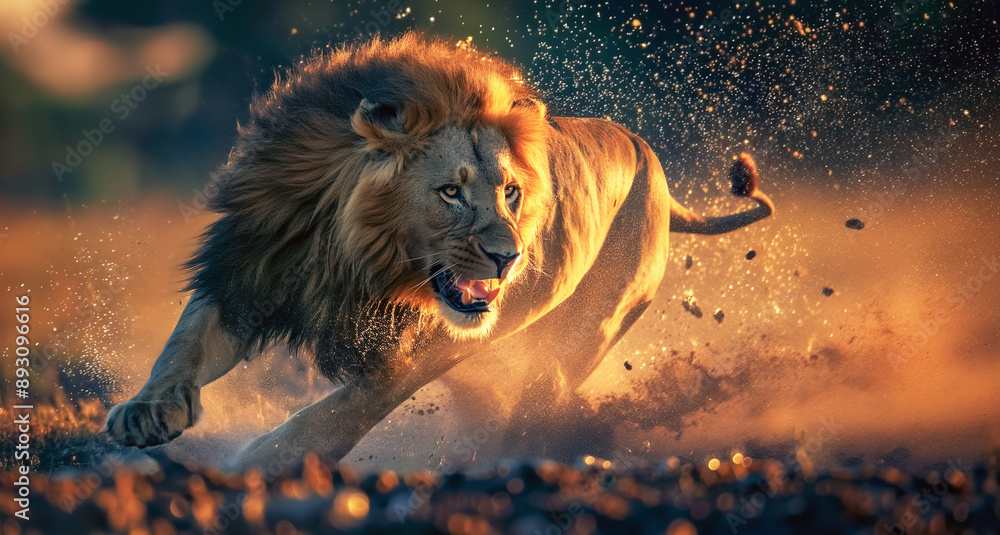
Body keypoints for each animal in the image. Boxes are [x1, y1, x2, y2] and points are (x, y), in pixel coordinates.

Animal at [104, 33, 775, 470]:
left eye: (511, 192)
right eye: (451, 192)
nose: (512, 259)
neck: (355, 259)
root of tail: (655, 168)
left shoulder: (422, 346)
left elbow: (350, 407)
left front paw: (268, 460)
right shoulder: (249, 269)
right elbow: (183, 347)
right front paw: (144, 412)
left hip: (589, 330)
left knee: (540, 401)